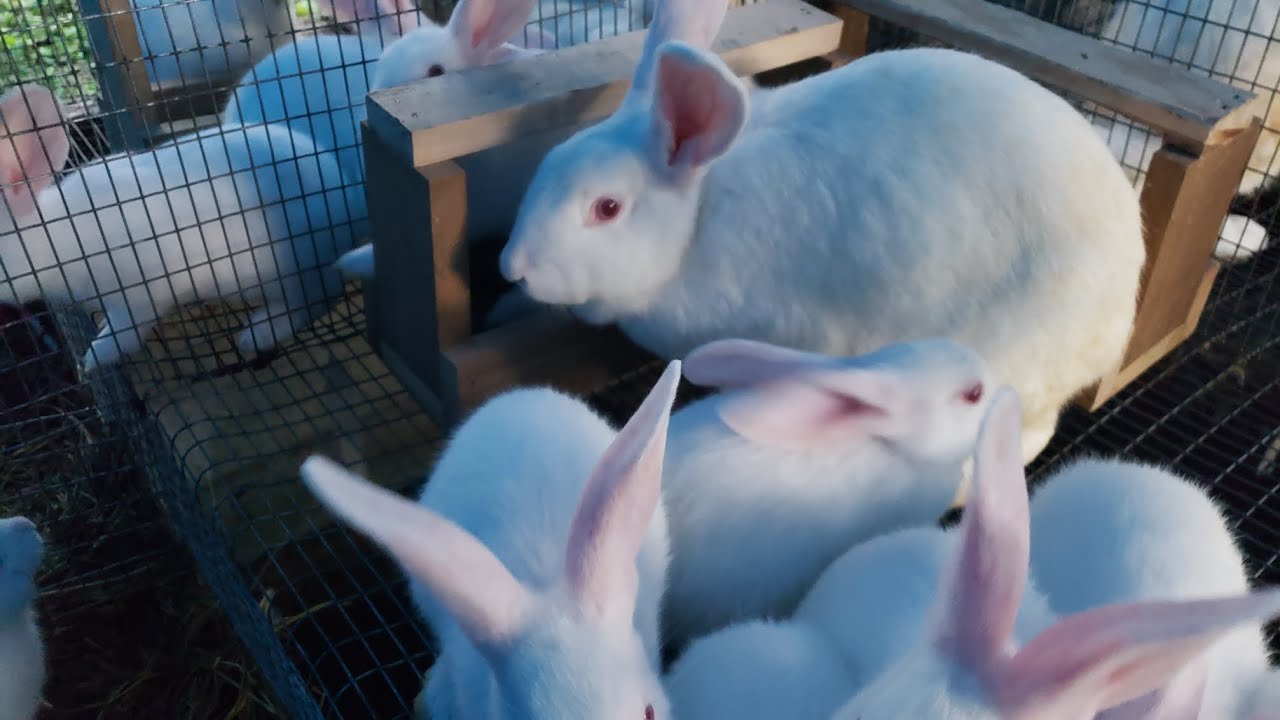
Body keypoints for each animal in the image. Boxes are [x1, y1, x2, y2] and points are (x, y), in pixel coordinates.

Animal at [0, 84, 358, 371]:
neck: (57, 237)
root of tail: (347, 201)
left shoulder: (140, 294)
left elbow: (125, 332)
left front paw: (93, 359)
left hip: (288, 270)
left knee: (318, 297)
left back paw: (258, 333)